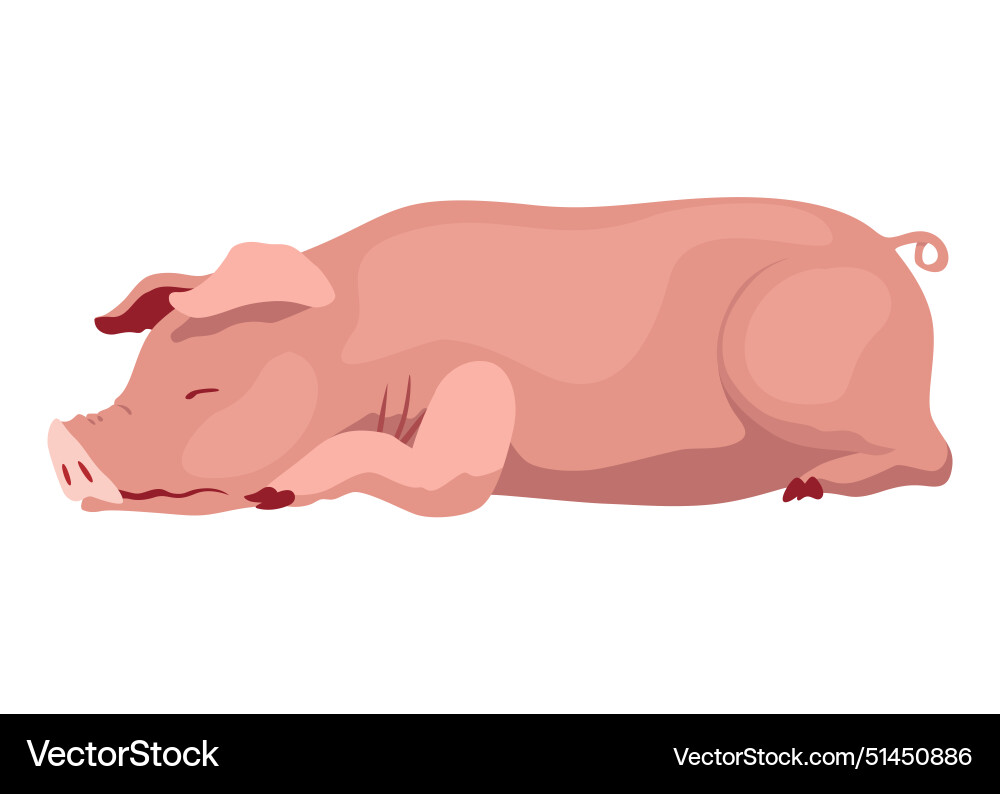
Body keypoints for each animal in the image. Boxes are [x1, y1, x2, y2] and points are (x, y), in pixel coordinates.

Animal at [48, 199, 952, 515]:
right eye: (137, 373)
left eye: (204, 392)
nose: (64, 443)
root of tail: (890, 249)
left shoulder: (477, 395)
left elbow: (449, 483)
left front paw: (280, 491)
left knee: (938, 457)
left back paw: (805, 488)